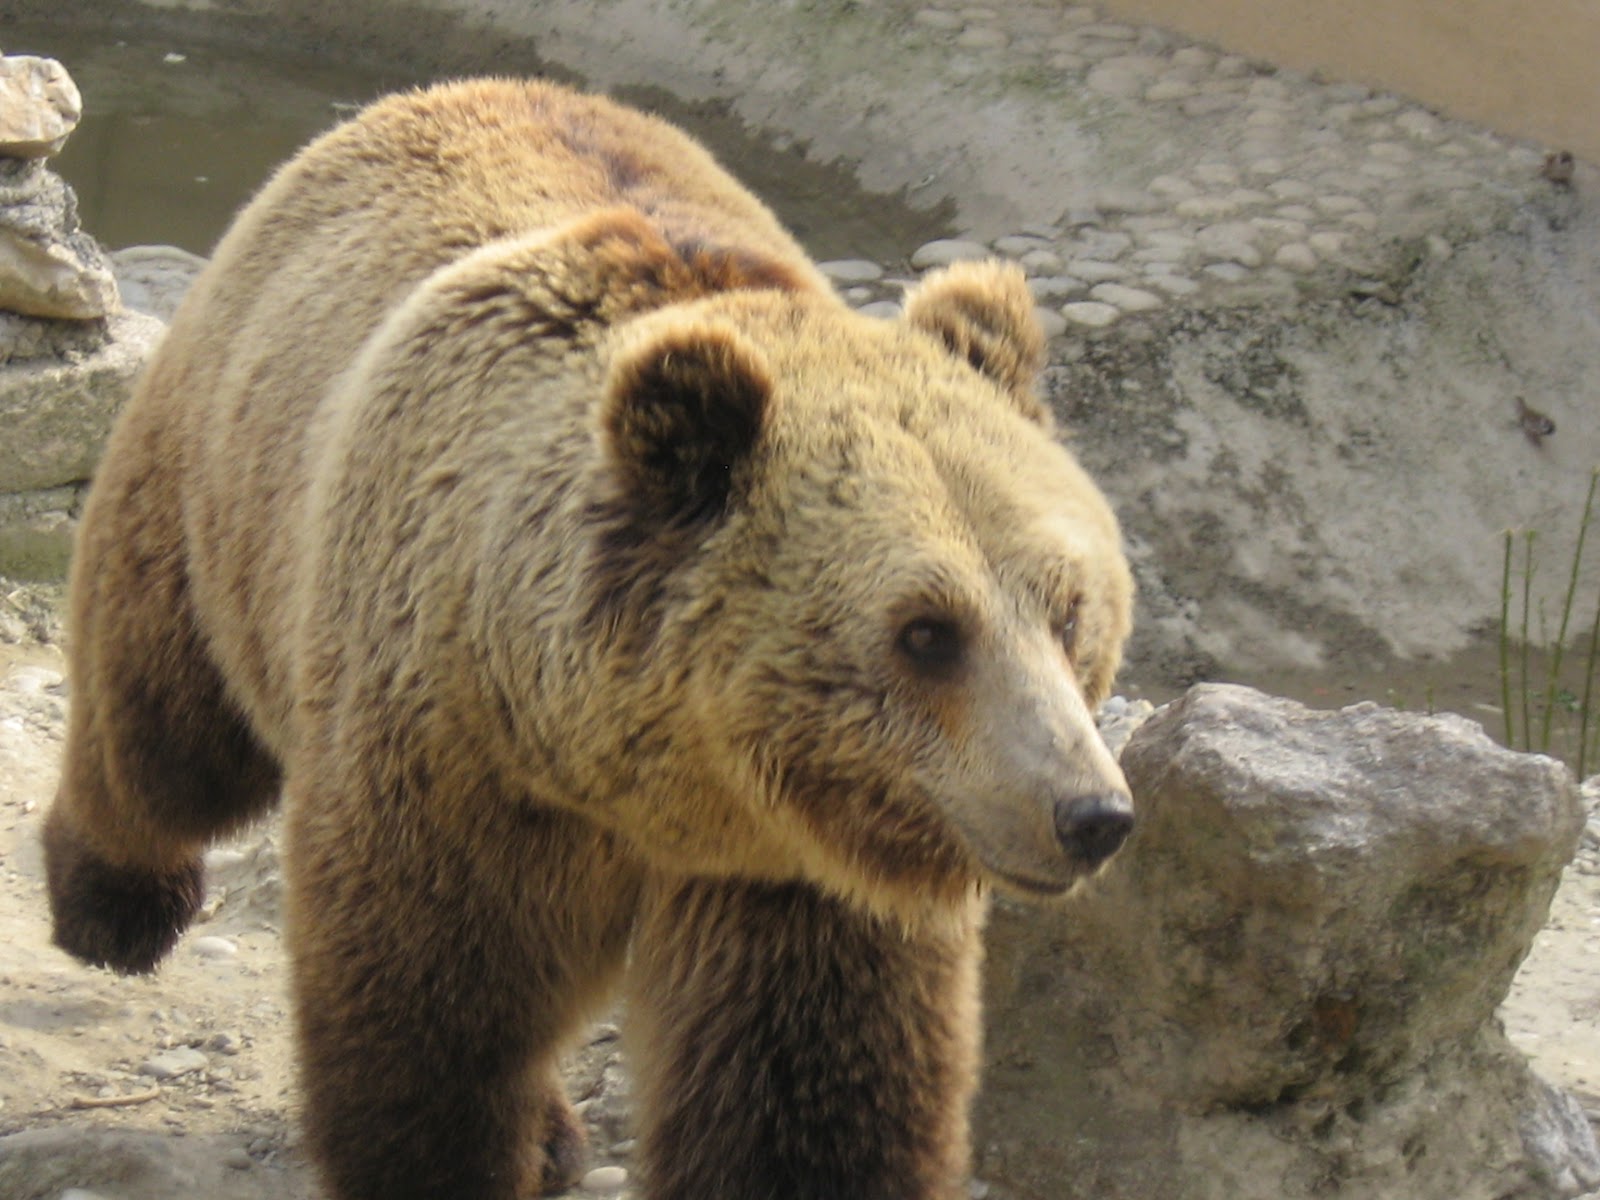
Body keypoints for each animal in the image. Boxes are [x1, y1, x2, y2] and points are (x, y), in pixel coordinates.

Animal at [42, 78, 1135, 1200]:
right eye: (926, 630)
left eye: (1069, 609)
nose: (1090, 813)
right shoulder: (452, 755)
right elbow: (426, 1015)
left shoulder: (798, 877)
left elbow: (807, 1082)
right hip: (233, 485)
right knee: (167, 721)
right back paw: (113, 902)